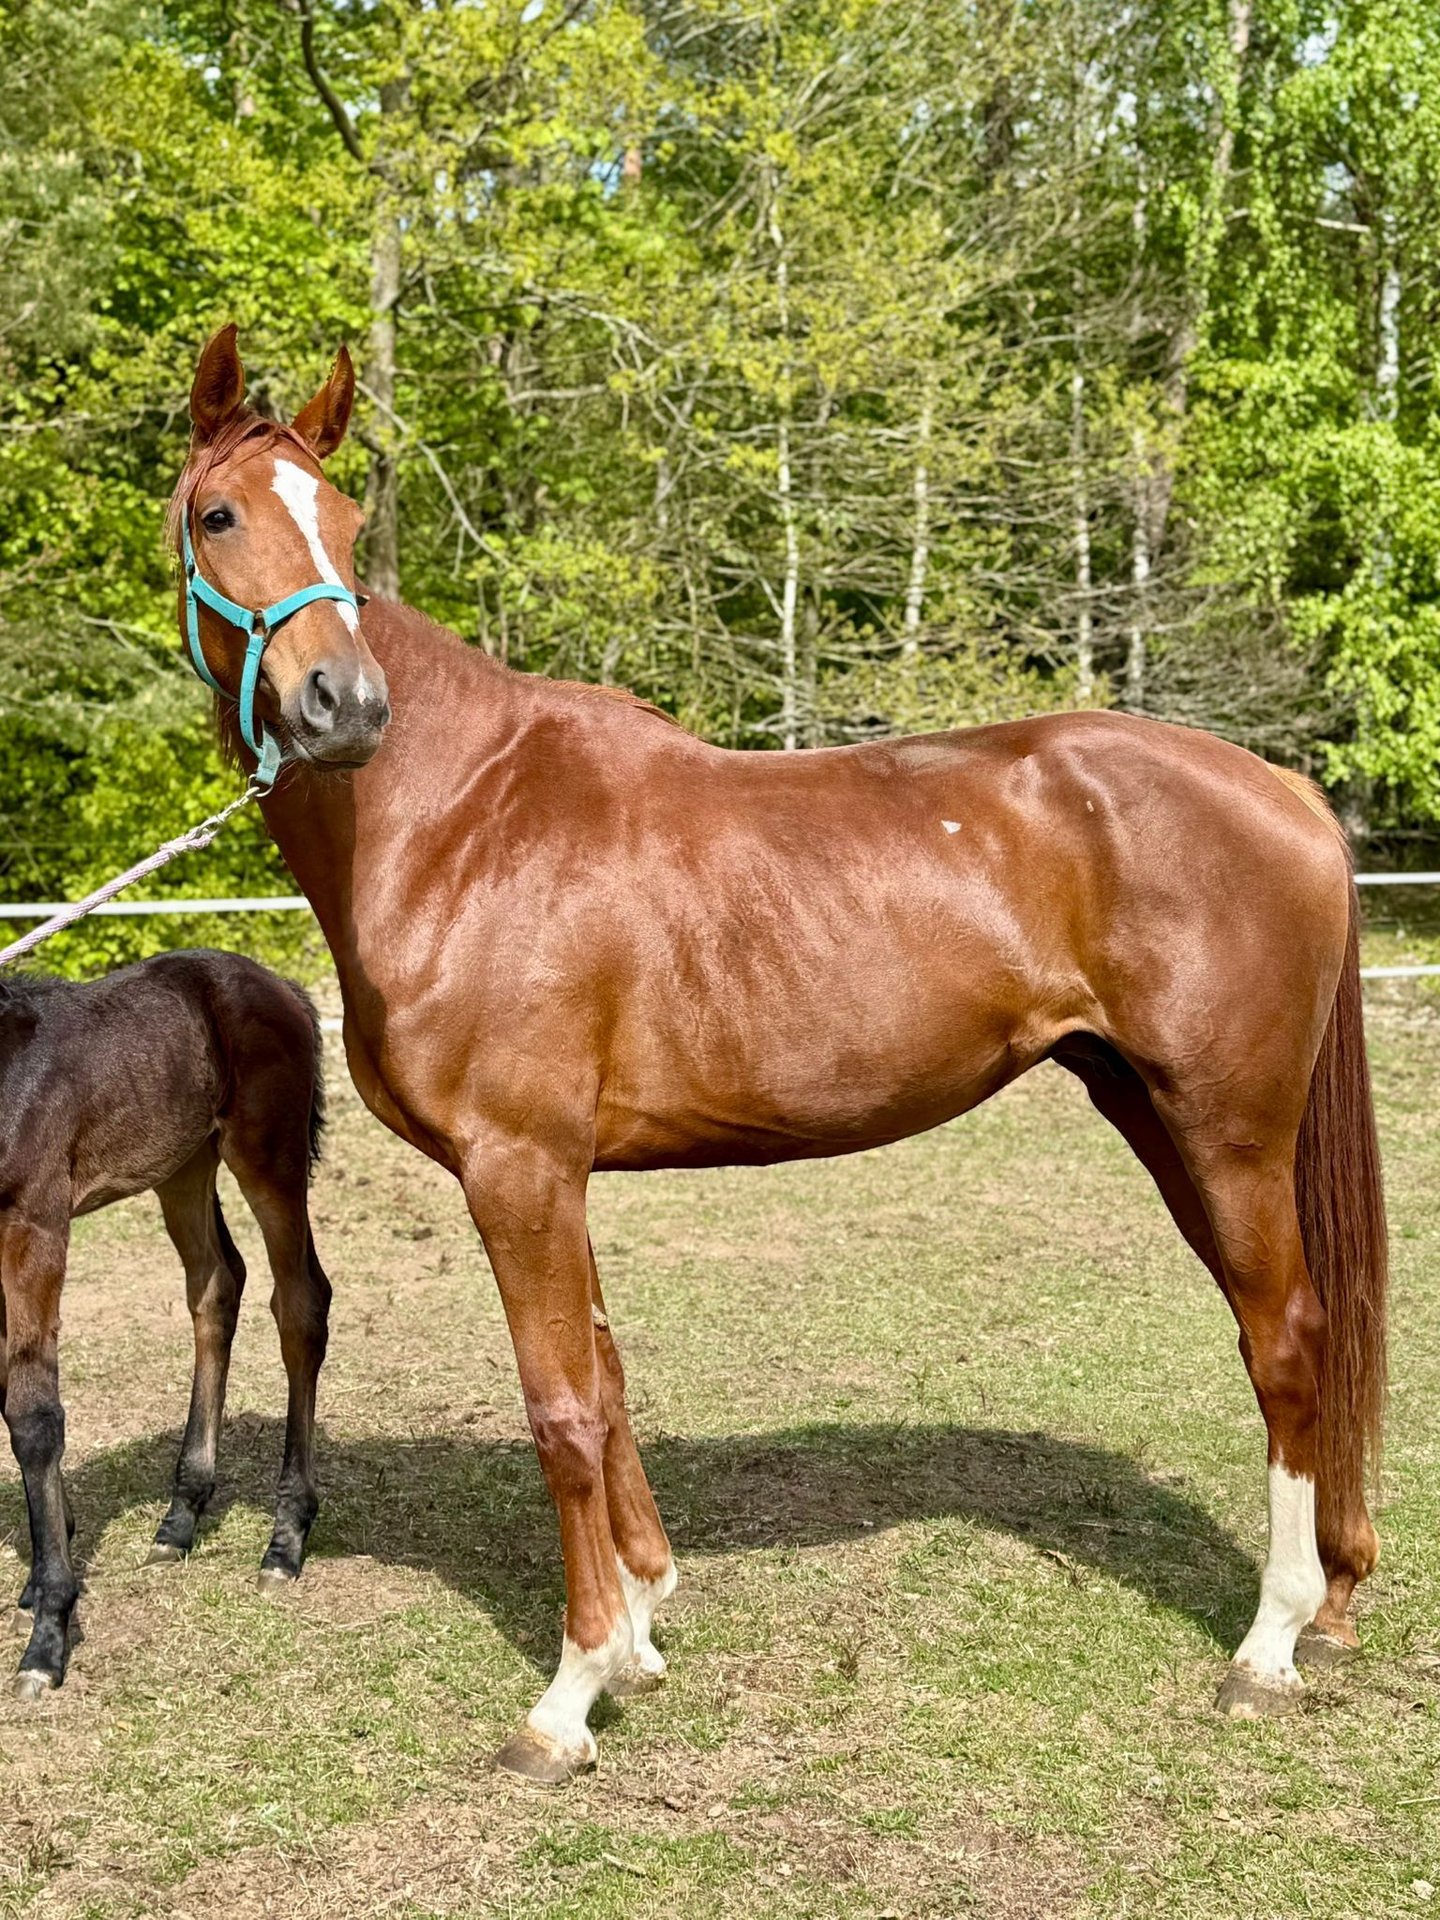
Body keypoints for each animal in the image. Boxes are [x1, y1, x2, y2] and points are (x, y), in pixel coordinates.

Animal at [0, 948, 330, 1699]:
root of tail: (282, 987)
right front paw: (43, 1574)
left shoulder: (36, 1225)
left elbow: (34, 1416)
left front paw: (48, 1634)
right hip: (182, 1164)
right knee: (217, 1285)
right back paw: (180, 1518)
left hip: (267, 1156)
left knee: (301, 1305)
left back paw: (285, 1541)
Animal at [159, 323, 1386, 1782]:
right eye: (223, 516)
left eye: (344, 522)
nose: (343, 705)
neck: (459, 818)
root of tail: (1285, 792)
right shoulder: (556, 1179)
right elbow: (607, 1379)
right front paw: (640, 1630)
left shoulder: (518, 1171)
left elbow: (561, 1408)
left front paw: (568, 1697)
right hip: (1155, 1114)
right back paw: (1328, 1609)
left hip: (1229, 1128)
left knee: (1288, 1338)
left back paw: (1268, 1644)